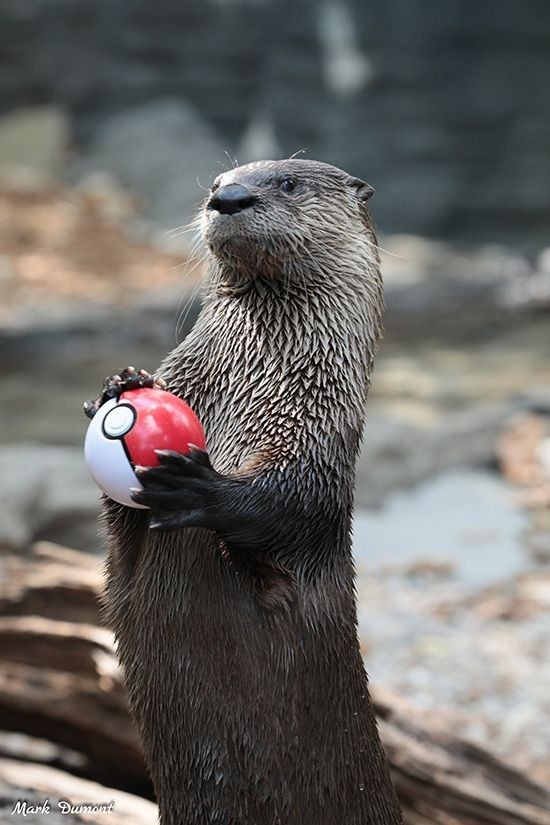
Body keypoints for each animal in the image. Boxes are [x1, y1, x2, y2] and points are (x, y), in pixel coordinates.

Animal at [84, 159, 403, 825]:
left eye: (287, 183)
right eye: (215, 182)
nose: (228, 198)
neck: (247, 387)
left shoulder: (316, 443)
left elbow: (289, 504)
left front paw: (198, 486)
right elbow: (116, 521)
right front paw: (119, 385)